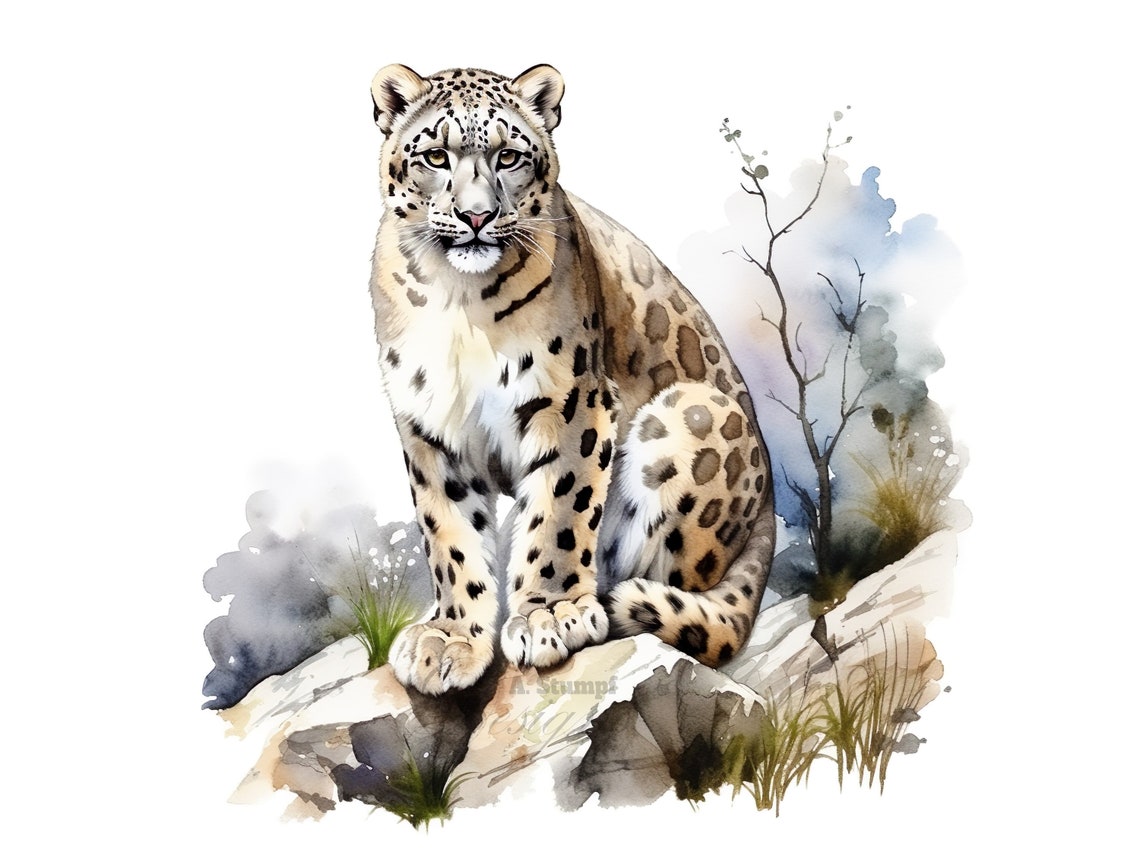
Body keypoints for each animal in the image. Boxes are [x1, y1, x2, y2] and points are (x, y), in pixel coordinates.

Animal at [369, 63, 775, 695]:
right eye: (435, 156)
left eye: (509, 156)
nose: (477, 216)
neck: (458, 301)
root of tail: (770, 510)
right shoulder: (429, 423)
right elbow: (449, 533)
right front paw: (452, 637)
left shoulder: (569, 402)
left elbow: (559, 511)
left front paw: (550, 615)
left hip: (691, 414)